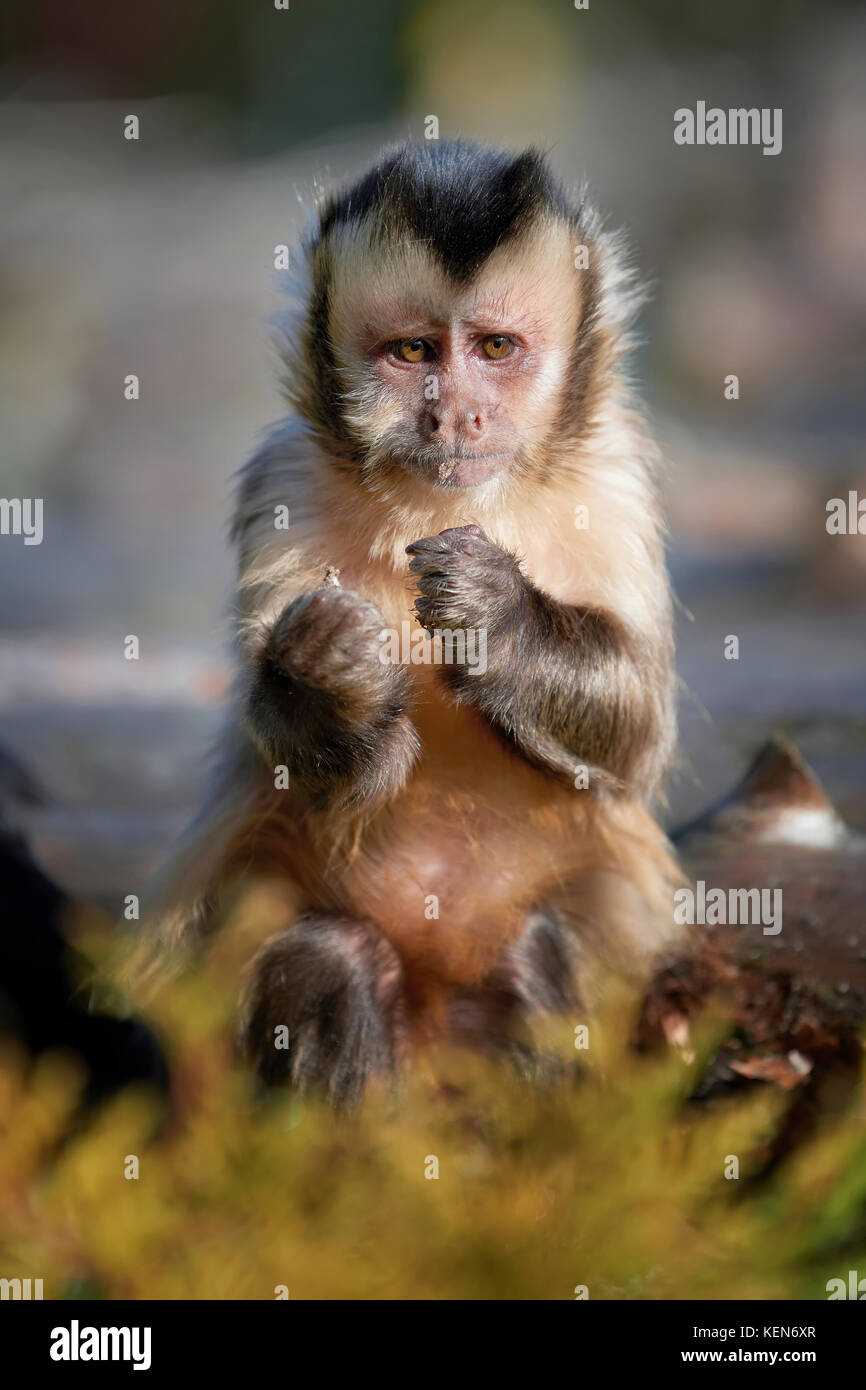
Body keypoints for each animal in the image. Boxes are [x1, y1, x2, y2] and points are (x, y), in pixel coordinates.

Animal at [144, 139, 683, 1106]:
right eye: (412, 351)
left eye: (496, 348)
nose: (453, 413)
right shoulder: (284, 478)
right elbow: (285, 754)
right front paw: (329, 669)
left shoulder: (617, 474)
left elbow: (635, 744)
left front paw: (501, 618)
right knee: (328, 950)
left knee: (542, 947)